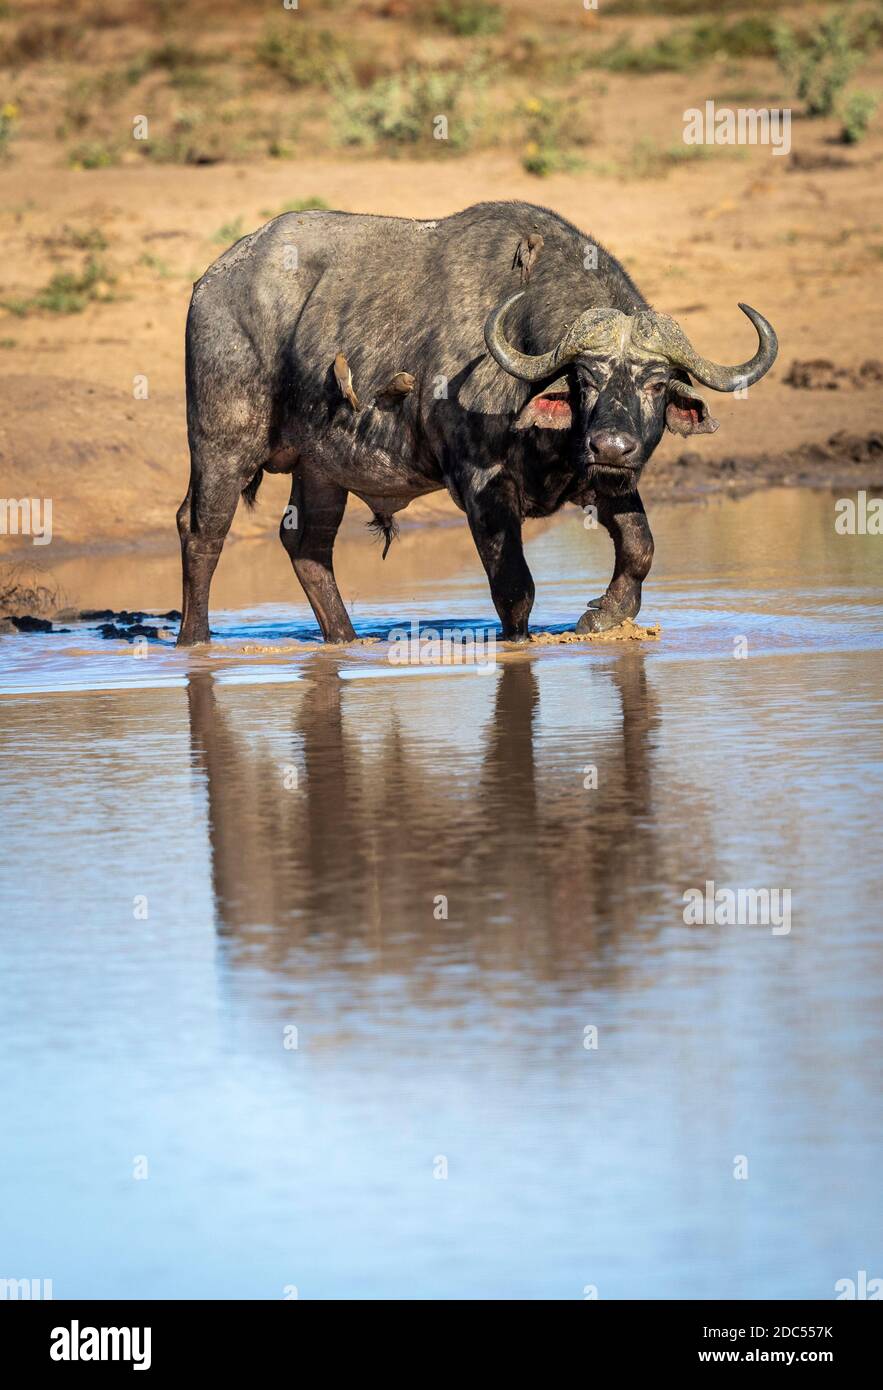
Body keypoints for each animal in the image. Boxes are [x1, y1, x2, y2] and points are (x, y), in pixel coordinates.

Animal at [177, 200, 777, 645]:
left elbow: (640, 547)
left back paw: (346, 639)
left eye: (655, 383)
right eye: (585, 378)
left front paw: (604, 614)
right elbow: (514, 585)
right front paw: (520, 644)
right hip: (223, 444)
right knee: (201, 529)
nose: (612, 445)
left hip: (321, 469)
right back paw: (195, 639)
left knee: (306, 545)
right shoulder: (482, 484)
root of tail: (209, 282)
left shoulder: (604, 481)